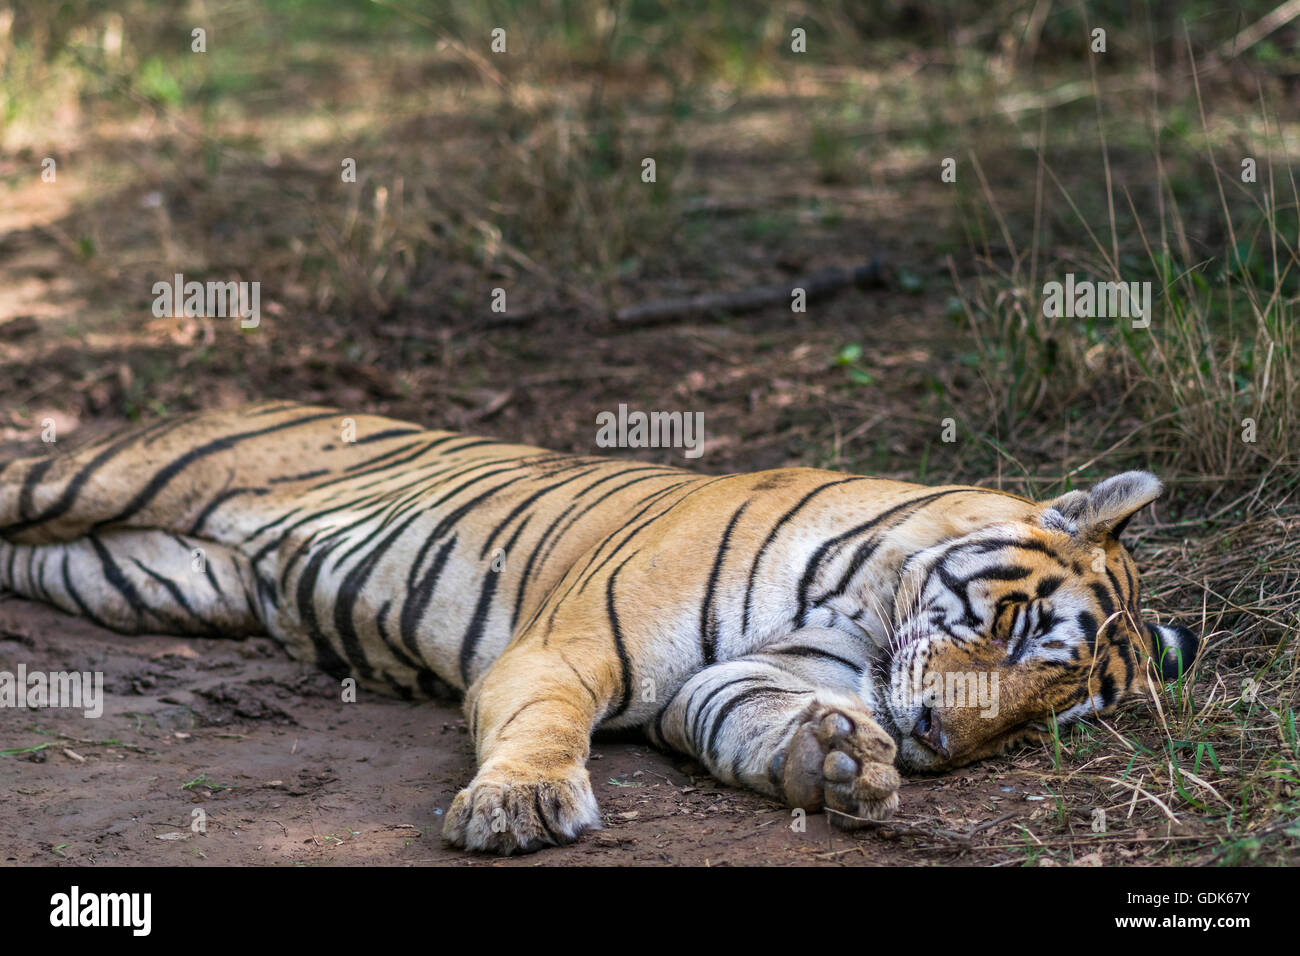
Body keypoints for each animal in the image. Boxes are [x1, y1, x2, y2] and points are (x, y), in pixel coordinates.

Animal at [0, 400, 1200, 854]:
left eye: (1048, 722)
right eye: (1017, 628)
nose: (941, 746)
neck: (864, 606)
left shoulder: (723, 681)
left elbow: (746, 715)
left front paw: (830, 761)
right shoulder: (561, 650)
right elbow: (544, 725)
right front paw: (519, 805)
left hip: (148, 575)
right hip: (100, 477)